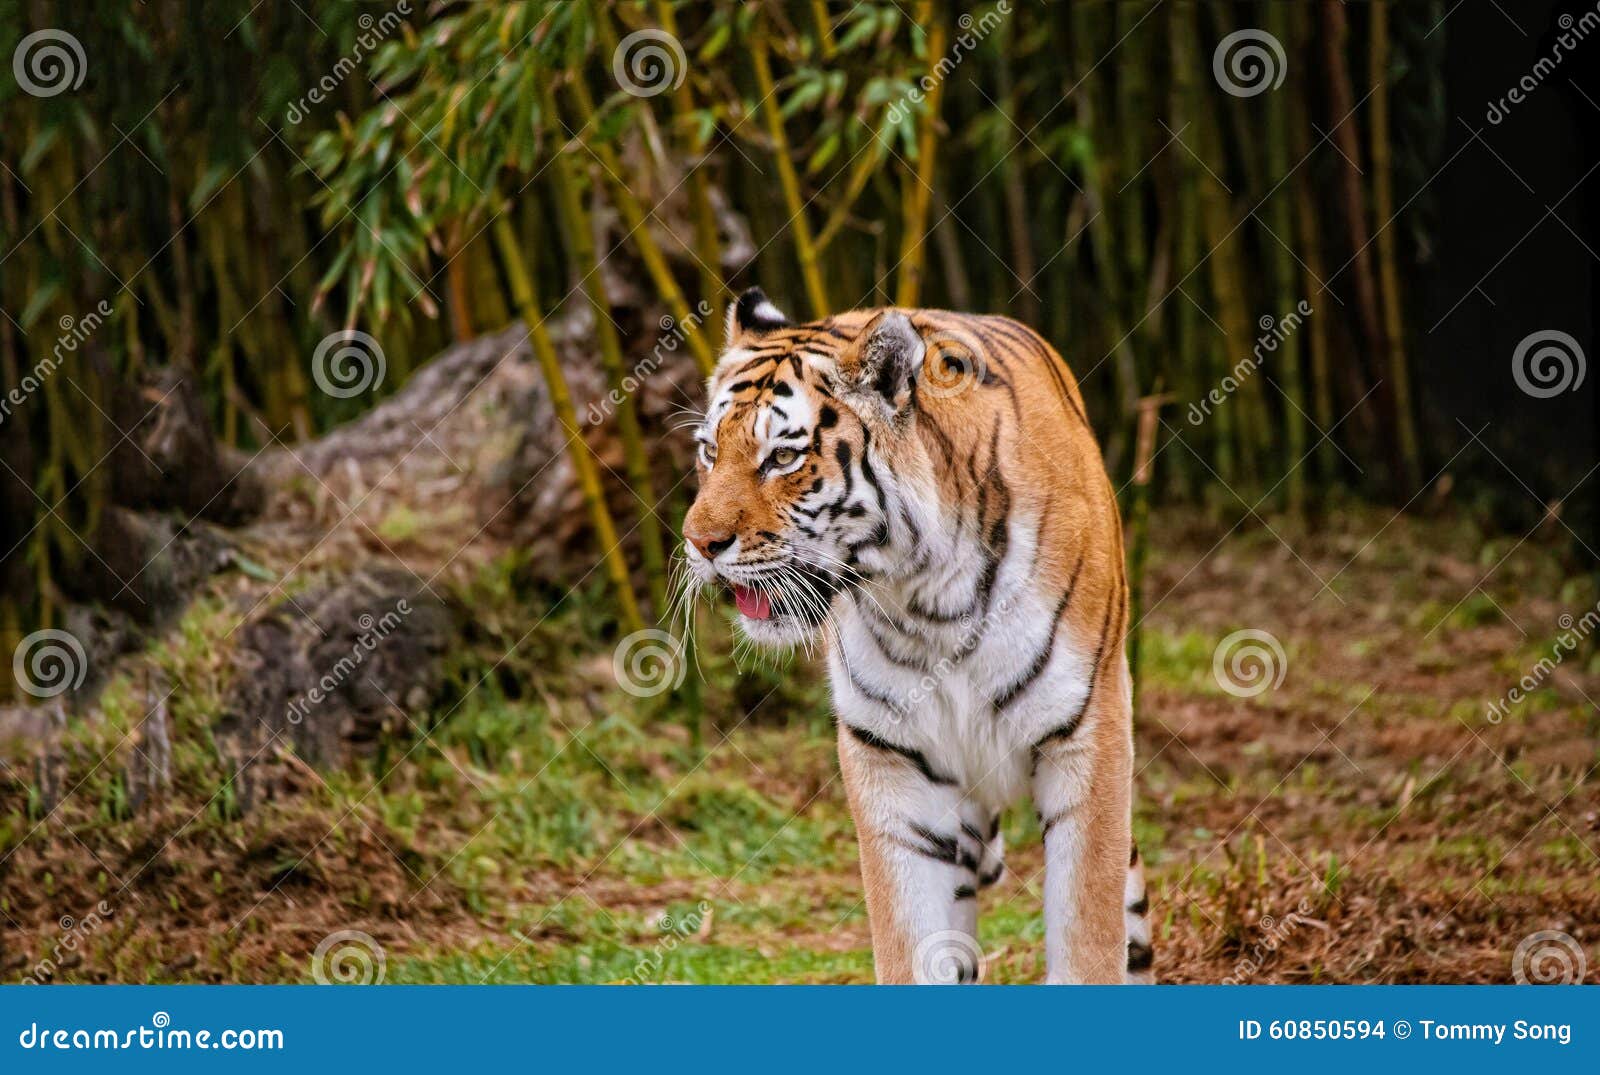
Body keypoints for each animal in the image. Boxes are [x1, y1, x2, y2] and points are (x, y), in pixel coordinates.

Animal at [681, 287, 1152, 984]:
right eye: (711, 452)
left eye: (783, 457)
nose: (698, 543)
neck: (928, 596)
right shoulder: (891, 761)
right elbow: (909, 942)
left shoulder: (1086, 740)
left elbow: (1088, 943)